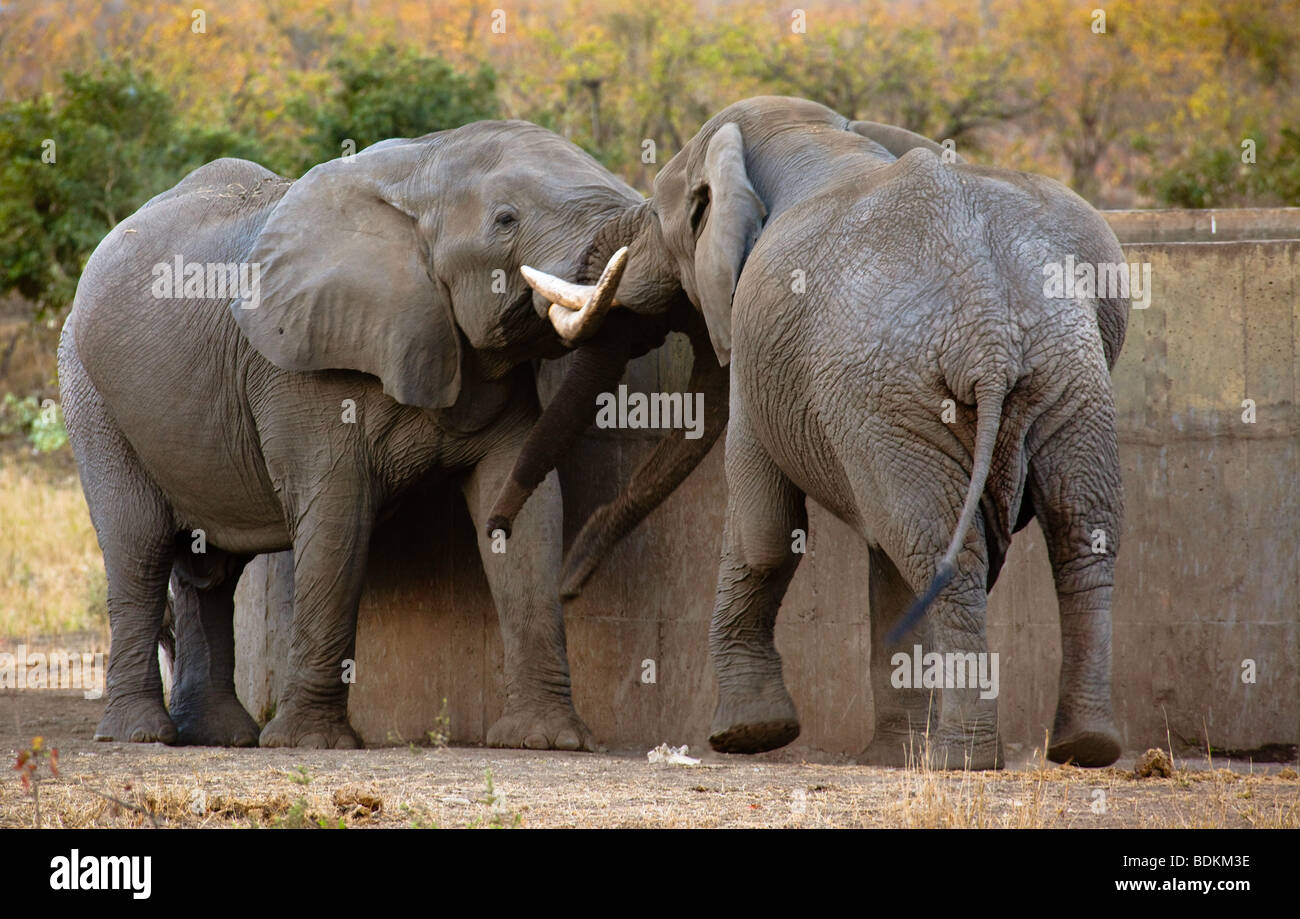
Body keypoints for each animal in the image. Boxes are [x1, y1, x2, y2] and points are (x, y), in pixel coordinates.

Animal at [58, 121, 653, 750]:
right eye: (506, 219)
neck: (420, 170)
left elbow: (528, 508)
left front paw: (546, 741)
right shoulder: (298, 364)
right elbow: (337, 514)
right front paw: (309, 744)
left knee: (210, 571)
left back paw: (222, 735)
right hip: (91, 395)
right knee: (140, 546)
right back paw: (140, 734)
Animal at [494, 96, 1130, 770]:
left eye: (661, 219)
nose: (566, 586)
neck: (819, 137)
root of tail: (988, 331)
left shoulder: (757, 353)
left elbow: (766, 528)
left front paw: (748, 736)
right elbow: (879, 555)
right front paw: (890, 755)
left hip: (901, 391)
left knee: (944, 551)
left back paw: (962, 760)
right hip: (1065, 384)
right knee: (1078, 537)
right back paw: (1085, 746)